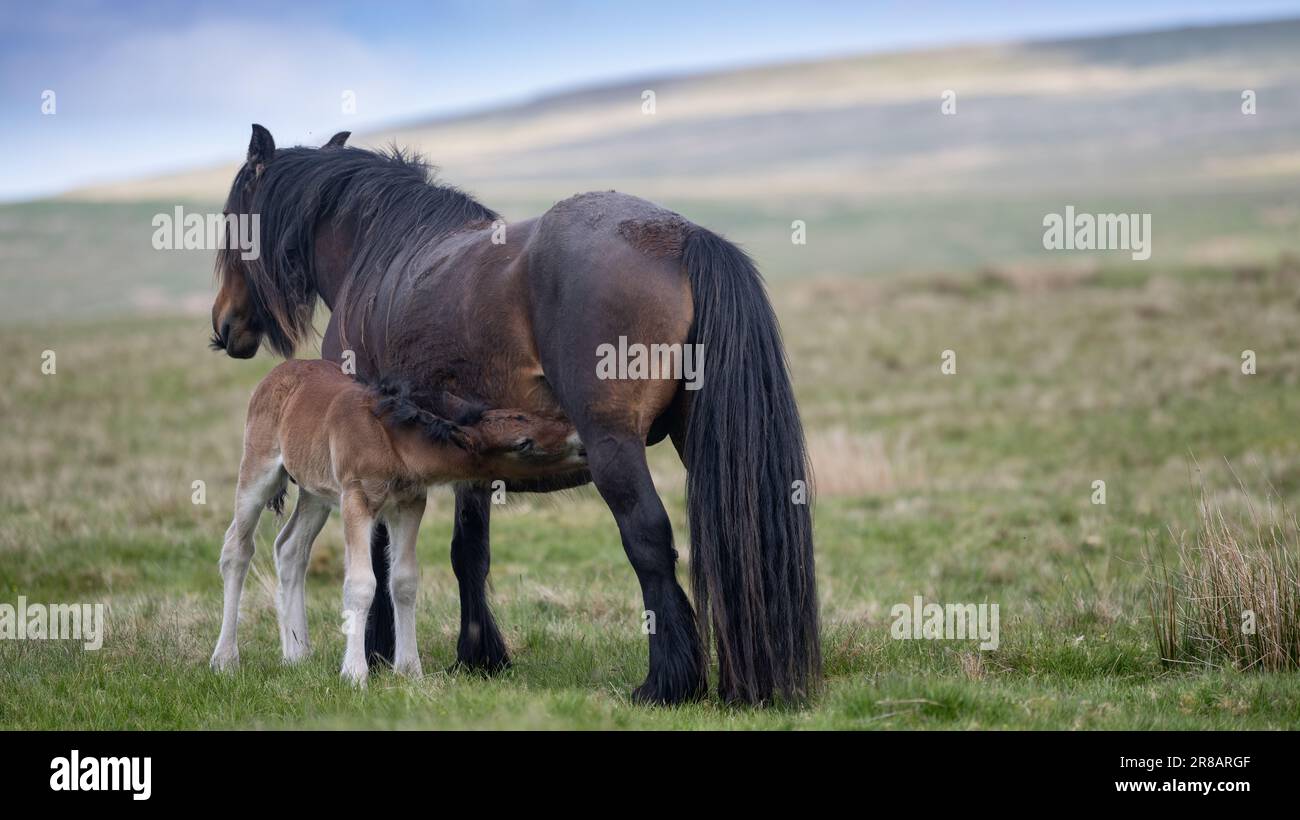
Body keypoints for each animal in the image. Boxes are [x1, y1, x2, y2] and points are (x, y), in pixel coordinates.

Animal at [209, 358, 583, 684]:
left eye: (527, 415)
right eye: (524, 444)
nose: (578, 439)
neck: (390, 443)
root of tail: (281, 370)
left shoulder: (409, 504)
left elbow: (403, 582)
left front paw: (410, 670)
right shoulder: (356, 501)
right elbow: (361, 584)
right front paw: (355, 674)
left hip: (316, 493)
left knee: (290, 548)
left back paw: (297, 655)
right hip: (258, 470)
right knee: (237, 549)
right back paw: (225, 660)